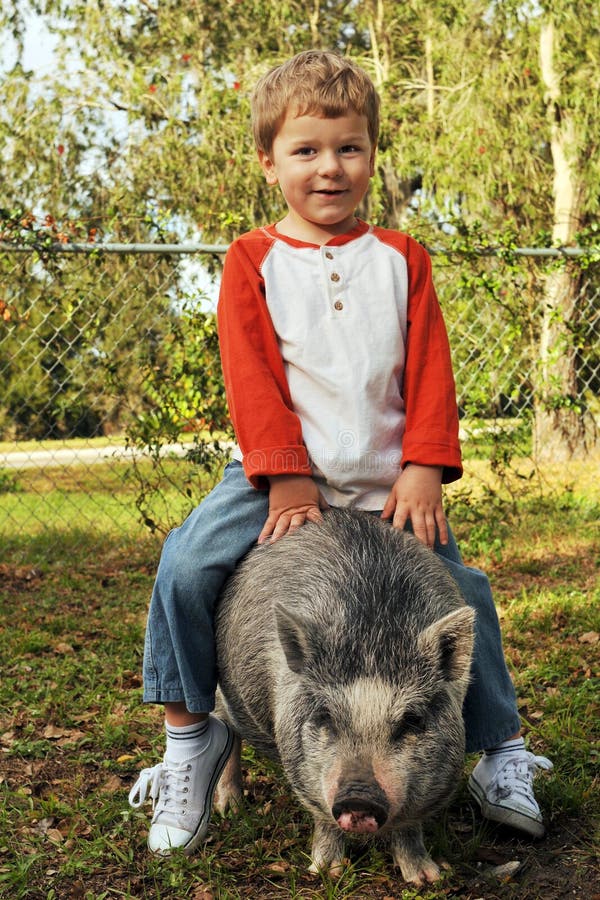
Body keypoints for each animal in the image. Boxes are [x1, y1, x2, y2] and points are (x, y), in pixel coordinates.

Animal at [214, 507, 475, 886]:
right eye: (325, 716)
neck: (372, 638)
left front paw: (428, 879)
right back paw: (229, 809)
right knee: (224, 730)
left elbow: (410, 825)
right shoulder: (301, 765)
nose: (359, 798)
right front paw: (326, 874)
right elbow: (323, 816)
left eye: (412, 720)